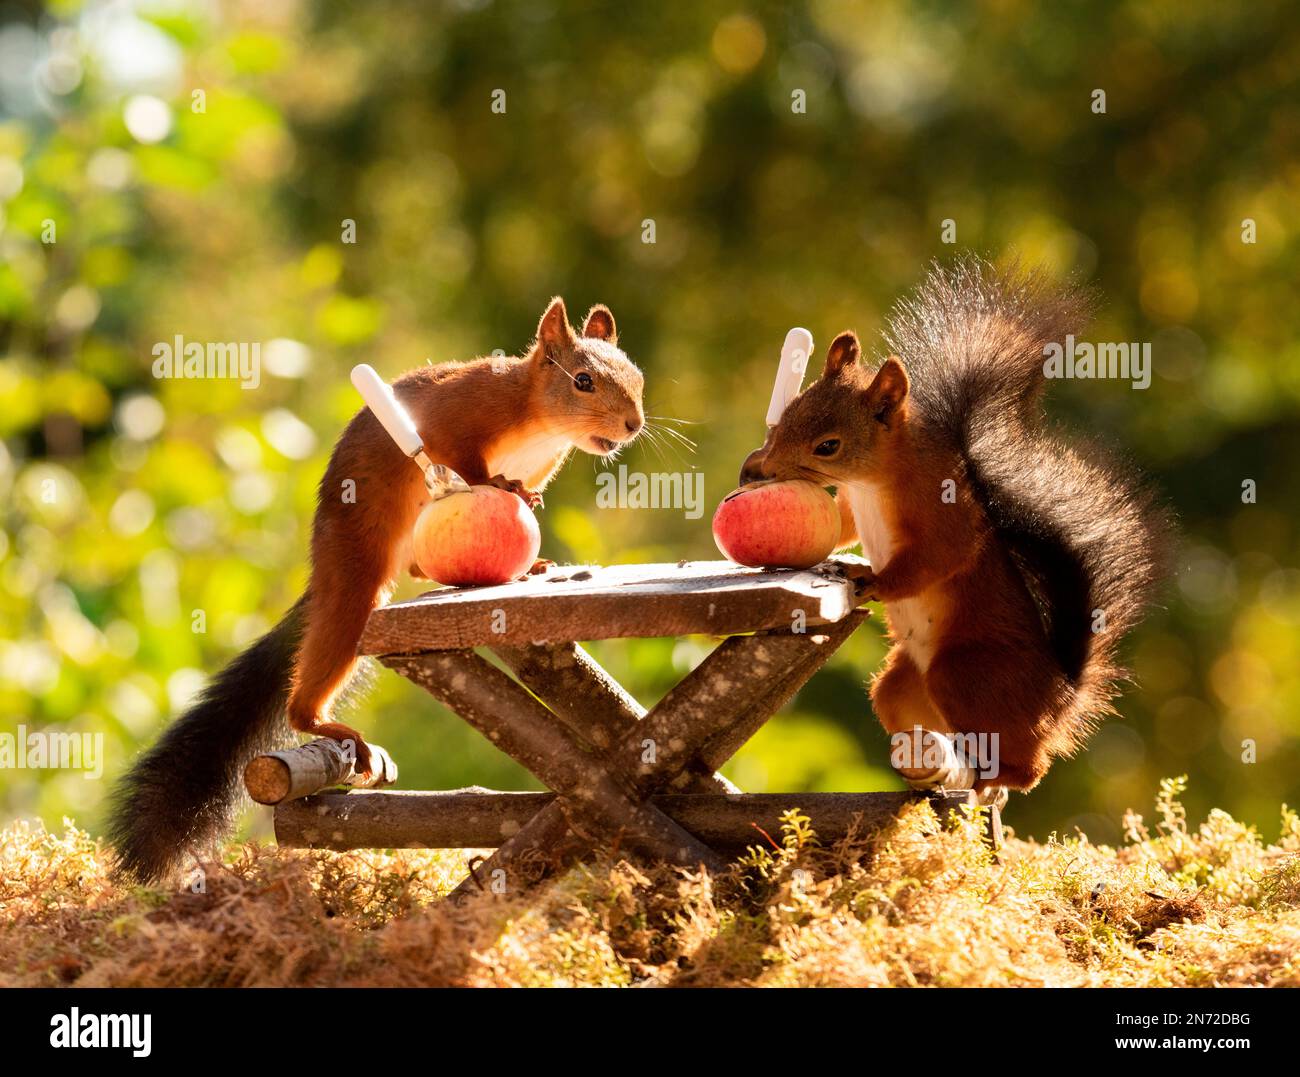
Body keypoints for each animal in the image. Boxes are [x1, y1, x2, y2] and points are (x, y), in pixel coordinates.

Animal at [109, 297, 646, 883]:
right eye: (583, 381)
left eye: (638, 378)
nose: (633, 424)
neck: (537, 422)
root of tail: (323, 569)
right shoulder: (459, 415)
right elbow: (460, 458)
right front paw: (497, 484)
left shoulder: (546, 461)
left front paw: (527, 516)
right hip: (356, 578)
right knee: (322, 666)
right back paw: (322, 721)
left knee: (416, 568)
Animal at [740, 257, 1173, 799]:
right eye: (786, 416)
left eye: (828, 446)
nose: (765, 468)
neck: (874, 478)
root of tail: (1061, 698)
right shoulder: (852, 507)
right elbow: (844, 528)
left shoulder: (944, 511)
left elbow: (939, 557)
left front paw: (869, 579)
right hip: (903, 686)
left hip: (963, 673)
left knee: (1029, 768)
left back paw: (995, 776)